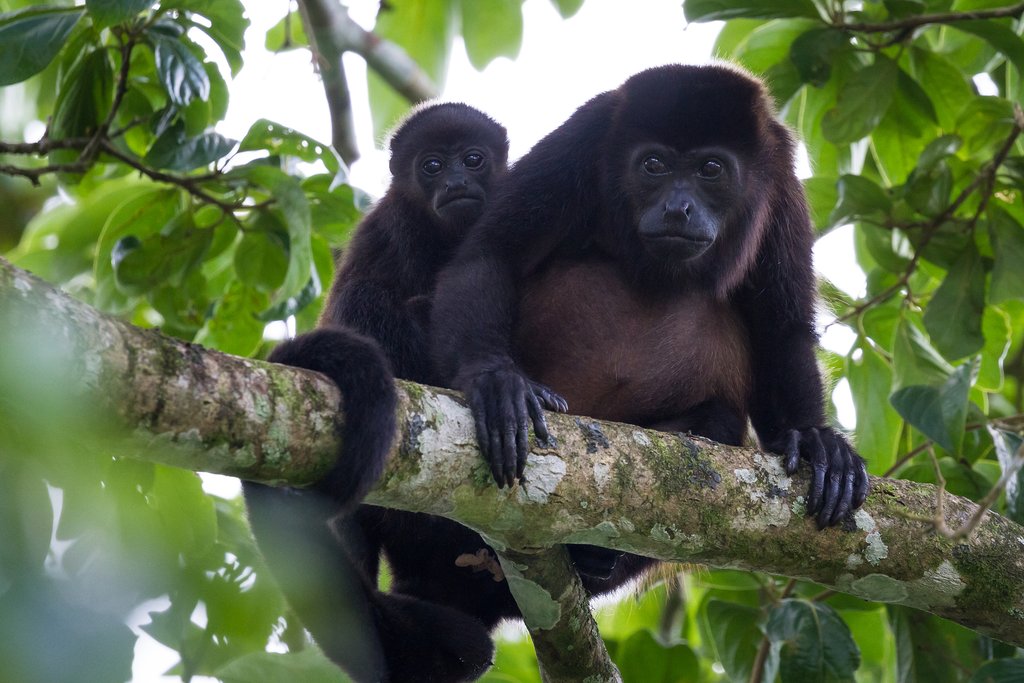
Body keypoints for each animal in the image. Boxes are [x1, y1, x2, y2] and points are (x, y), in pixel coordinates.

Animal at [428, 64, 872, 641]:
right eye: (654, 165)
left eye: (711, 169)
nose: (678, 207)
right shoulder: (586, 135)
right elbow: (492, 253)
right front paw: (495, 380)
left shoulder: (781, 181)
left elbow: (781, 326)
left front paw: (816, 440)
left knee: (720, 420)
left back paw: (592, 556)